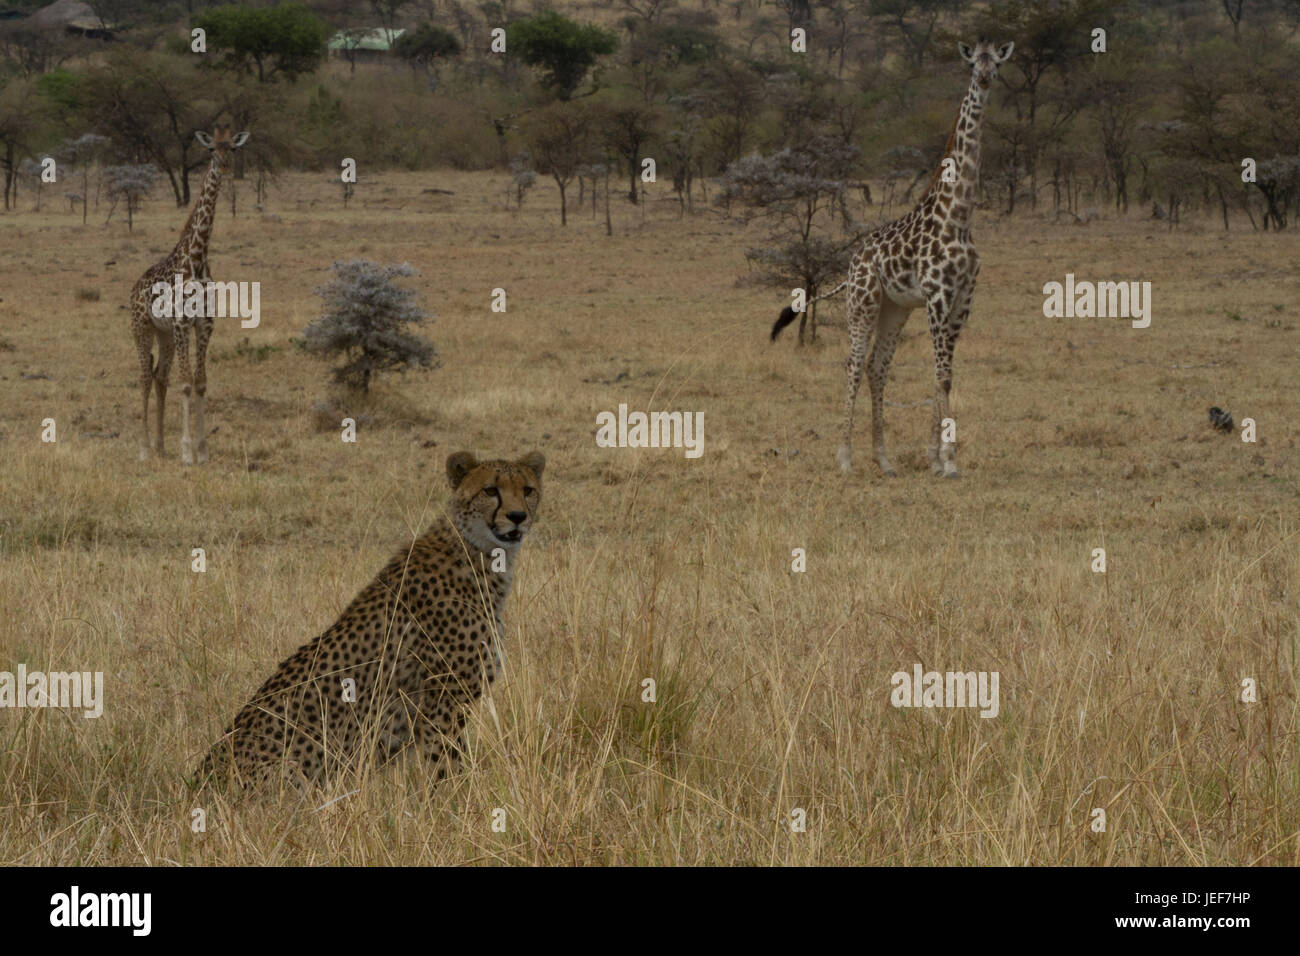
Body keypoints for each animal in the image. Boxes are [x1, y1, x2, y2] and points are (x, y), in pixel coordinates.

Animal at [129, 124, 249, 464]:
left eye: (232, 148)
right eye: (210, 149)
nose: (224, 167)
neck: (197, 257)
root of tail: (133, 287)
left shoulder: (204, 324)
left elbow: (200, 382)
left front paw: (202, 450)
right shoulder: (183, 322)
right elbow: (185, 383)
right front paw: (187, 451)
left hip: (165, 334)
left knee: (160, 376)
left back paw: (160, 446)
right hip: (142, 328)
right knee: (144, 377)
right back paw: (143, 449)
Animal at [195, 449, 545, 789]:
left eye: (528, 490)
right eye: (490, 490)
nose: (518, 517)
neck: (479, 554)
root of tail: (199, 778)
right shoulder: (442, 703)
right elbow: (445, 769)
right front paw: (454, 803)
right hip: (292, 774)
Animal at [835, 39, 1012, 478]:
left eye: (997, 65)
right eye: (973, 63)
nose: (985, 80)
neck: (960, 215)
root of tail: (854, 257)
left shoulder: (963, 298)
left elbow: (944, 374)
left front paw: (935, 457)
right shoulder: (937, 295)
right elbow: (942, 374)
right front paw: (947, 461)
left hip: (894, 308)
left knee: (877, 367)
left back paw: (884, 460)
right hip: (862, 302)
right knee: (853, 364)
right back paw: (844, 457)